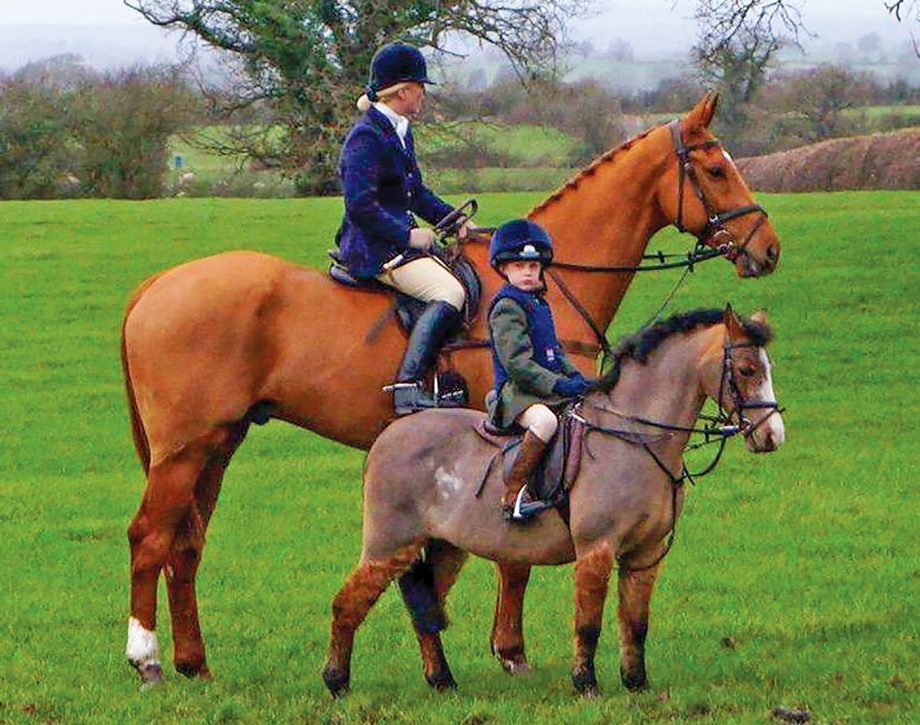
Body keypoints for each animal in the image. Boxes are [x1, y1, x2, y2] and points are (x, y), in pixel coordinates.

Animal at [322, 306, 785, 698]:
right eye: (745, 369)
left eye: (768, 369)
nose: (771, 436)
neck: (635, 438)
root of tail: (390, 435)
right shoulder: (597, 549)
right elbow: (589, 622)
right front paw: (586, 684)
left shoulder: (645, 553)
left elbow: (635, 622)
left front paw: (636, 684)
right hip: (390, 544)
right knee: (348, 603)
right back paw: (337, 681)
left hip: (446, 547)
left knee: (426, 608)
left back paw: (442, 681)